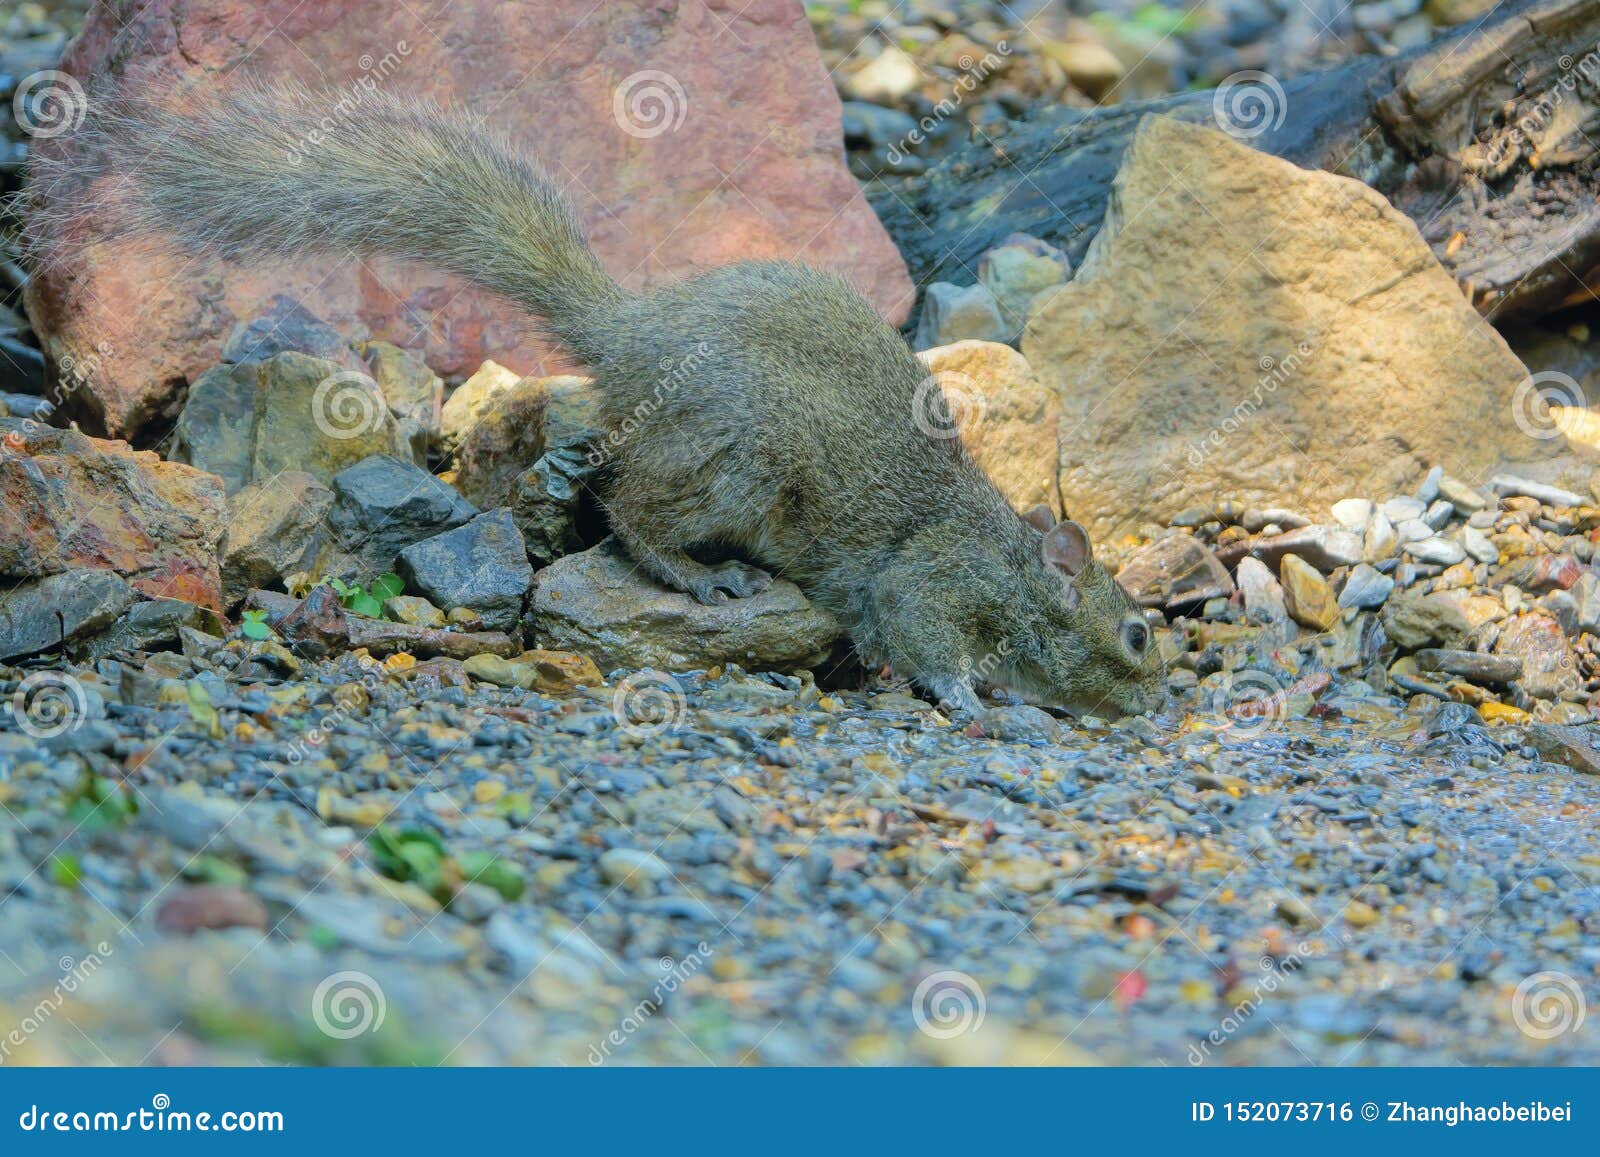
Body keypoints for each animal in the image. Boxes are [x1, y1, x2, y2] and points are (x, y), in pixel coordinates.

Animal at [40, 83, 1167, 718]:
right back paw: (699, 575)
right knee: (631, 508)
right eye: (1138, 636)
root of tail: (631, 338)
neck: (1013, 562)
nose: (1159, 702)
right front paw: (971, 692)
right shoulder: (933, 576)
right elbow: (919, 629)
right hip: (738, 460)